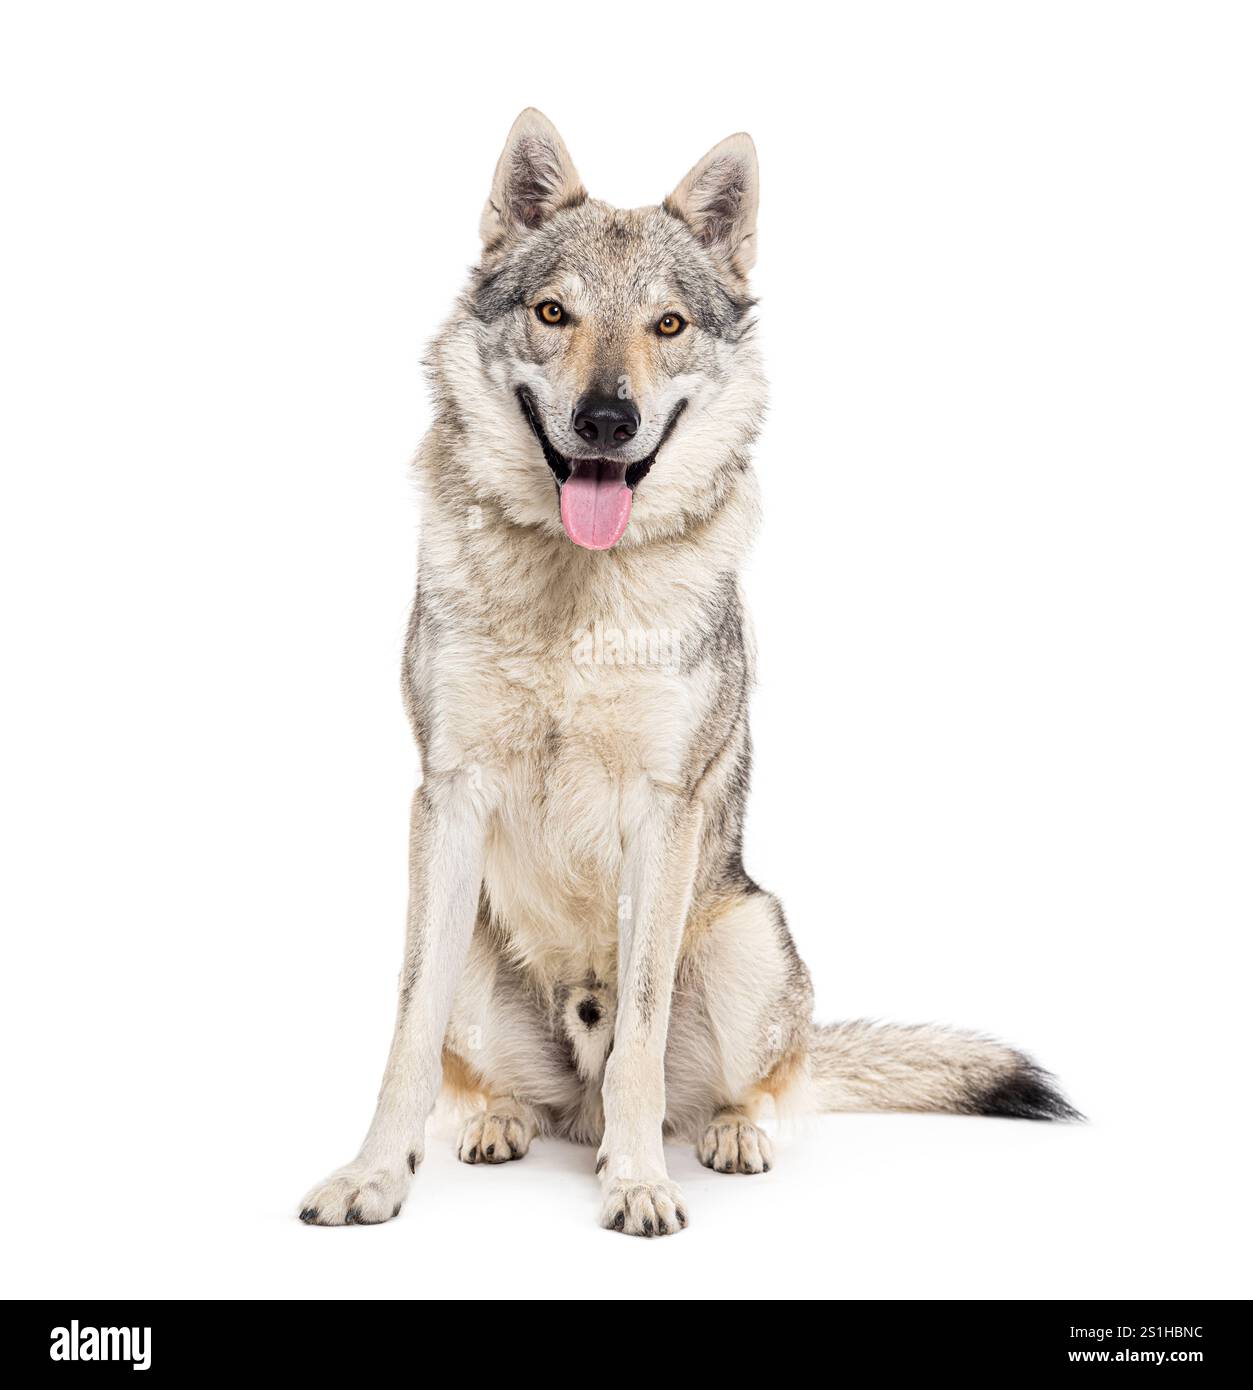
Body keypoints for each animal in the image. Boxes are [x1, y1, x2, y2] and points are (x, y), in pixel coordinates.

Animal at [299, 109, 1077, 1236]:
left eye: (666, 326)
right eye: (553, 313)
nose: (606, 422)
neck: (575, 598)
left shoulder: (659, 808)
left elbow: (642, 1032)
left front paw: (636, 1183)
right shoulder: (445, 798)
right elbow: (405, 1032)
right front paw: (373, 1176)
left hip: (749, 938)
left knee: (738, 1083)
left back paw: (725, 1137)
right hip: (483, 957)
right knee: (504, 1084)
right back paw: (502, 1123)